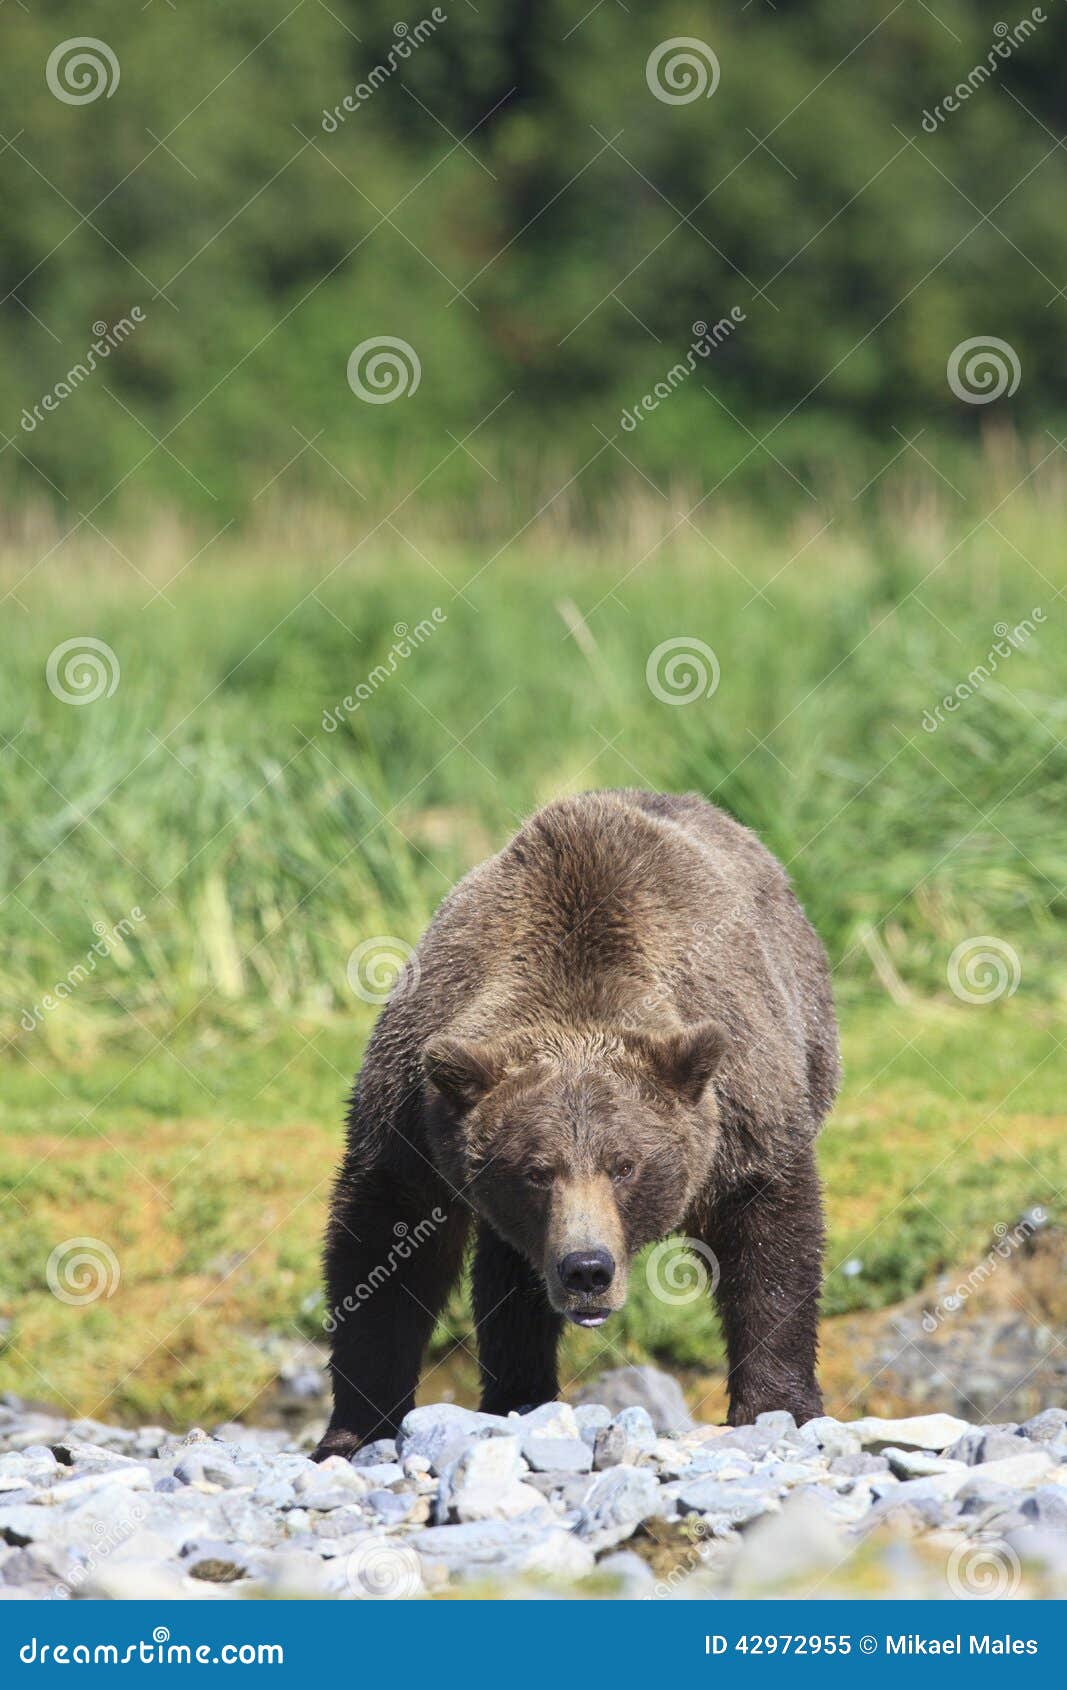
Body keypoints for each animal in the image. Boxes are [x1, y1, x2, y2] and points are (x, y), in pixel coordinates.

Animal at [314, 788, 840, 1459]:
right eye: (536, 1170)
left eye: (625, 1165)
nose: (587, 1268)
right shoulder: (414, 1113)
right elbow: (385, 1250)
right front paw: (356, 1429)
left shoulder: (743, 1104)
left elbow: (771, 1243)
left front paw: (779, 1405)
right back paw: (517, 1395)